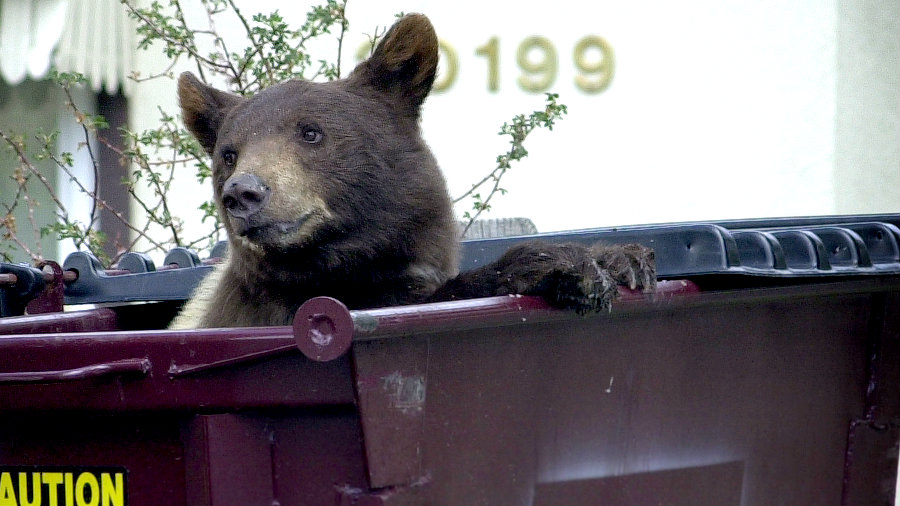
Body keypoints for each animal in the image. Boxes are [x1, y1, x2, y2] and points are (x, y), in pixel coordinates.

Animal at [168, 13, 655, 329]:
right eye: (229, 154)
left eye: (311, 132)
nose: (243, 192)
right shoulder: (273, 310)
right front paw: (556, 262)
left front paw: (623, 258)